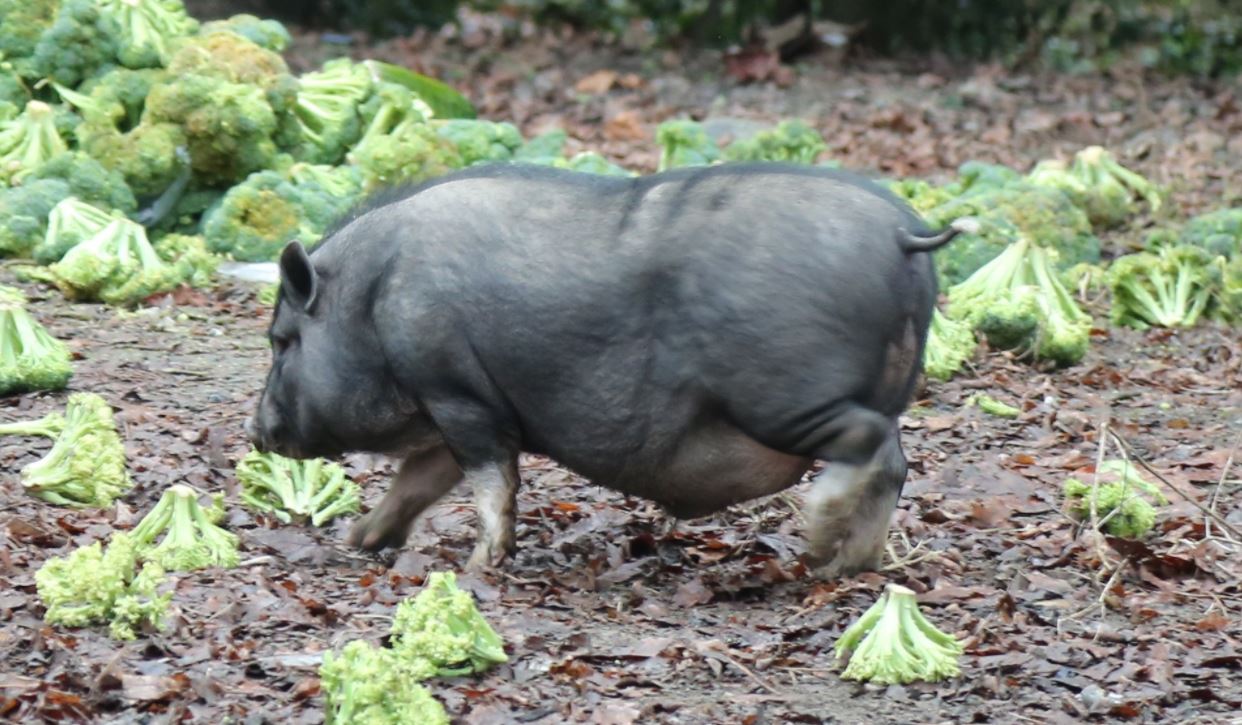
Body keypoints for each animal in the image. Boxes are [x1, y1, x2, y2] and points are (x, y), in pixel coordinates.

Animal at [245, 162, 970, 576]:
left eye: (282, 340)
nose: (255, 430)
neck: (371, 302)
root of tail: (905, 234)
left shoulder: (457, 395)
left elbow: (490, 486)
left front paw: (479, 566)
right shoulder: (458, 405)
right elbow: (416, 482)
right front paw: (358, 540)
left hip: (783, 397)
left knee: (869, 446)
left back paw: (815, 548)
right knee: (894, 458)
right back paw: (847, 566)